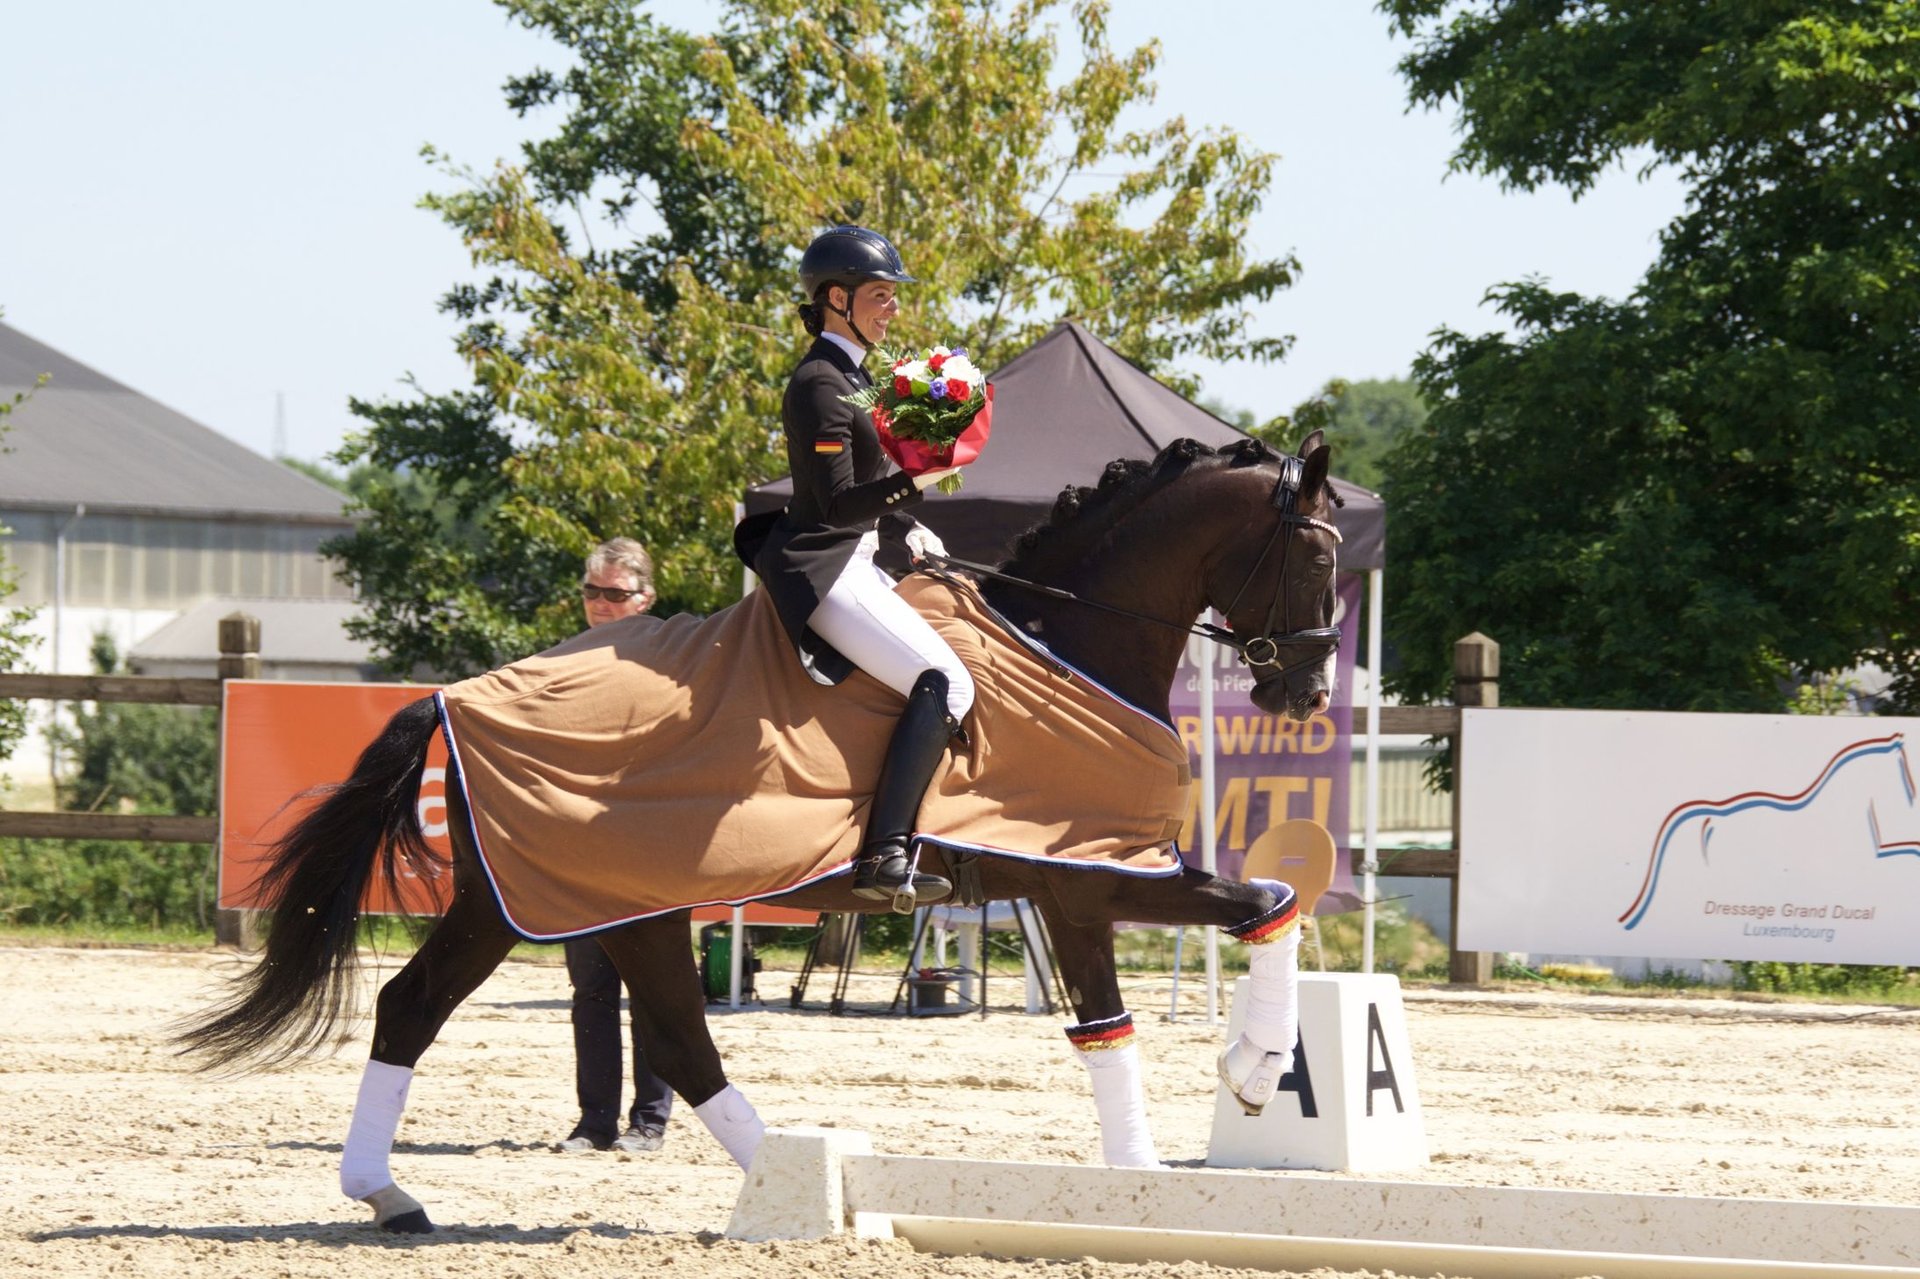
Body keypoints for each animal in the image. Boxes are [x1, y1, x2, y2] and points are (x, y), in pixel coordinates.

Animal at [176, 432, 1343, 1233]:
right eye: (1319, 560)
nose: (1306, 691)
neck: (1068, 639)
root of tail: (453, 700)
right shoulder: (1082, 879)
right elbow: (1160, 986)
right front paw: (1223, 1100)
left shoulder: (1098, 874)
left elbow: (1266, 907)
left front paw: (1249, 1072)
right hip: (542, 900)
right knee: (475, 1014)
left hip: (595, 905)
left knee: (636, 1036)